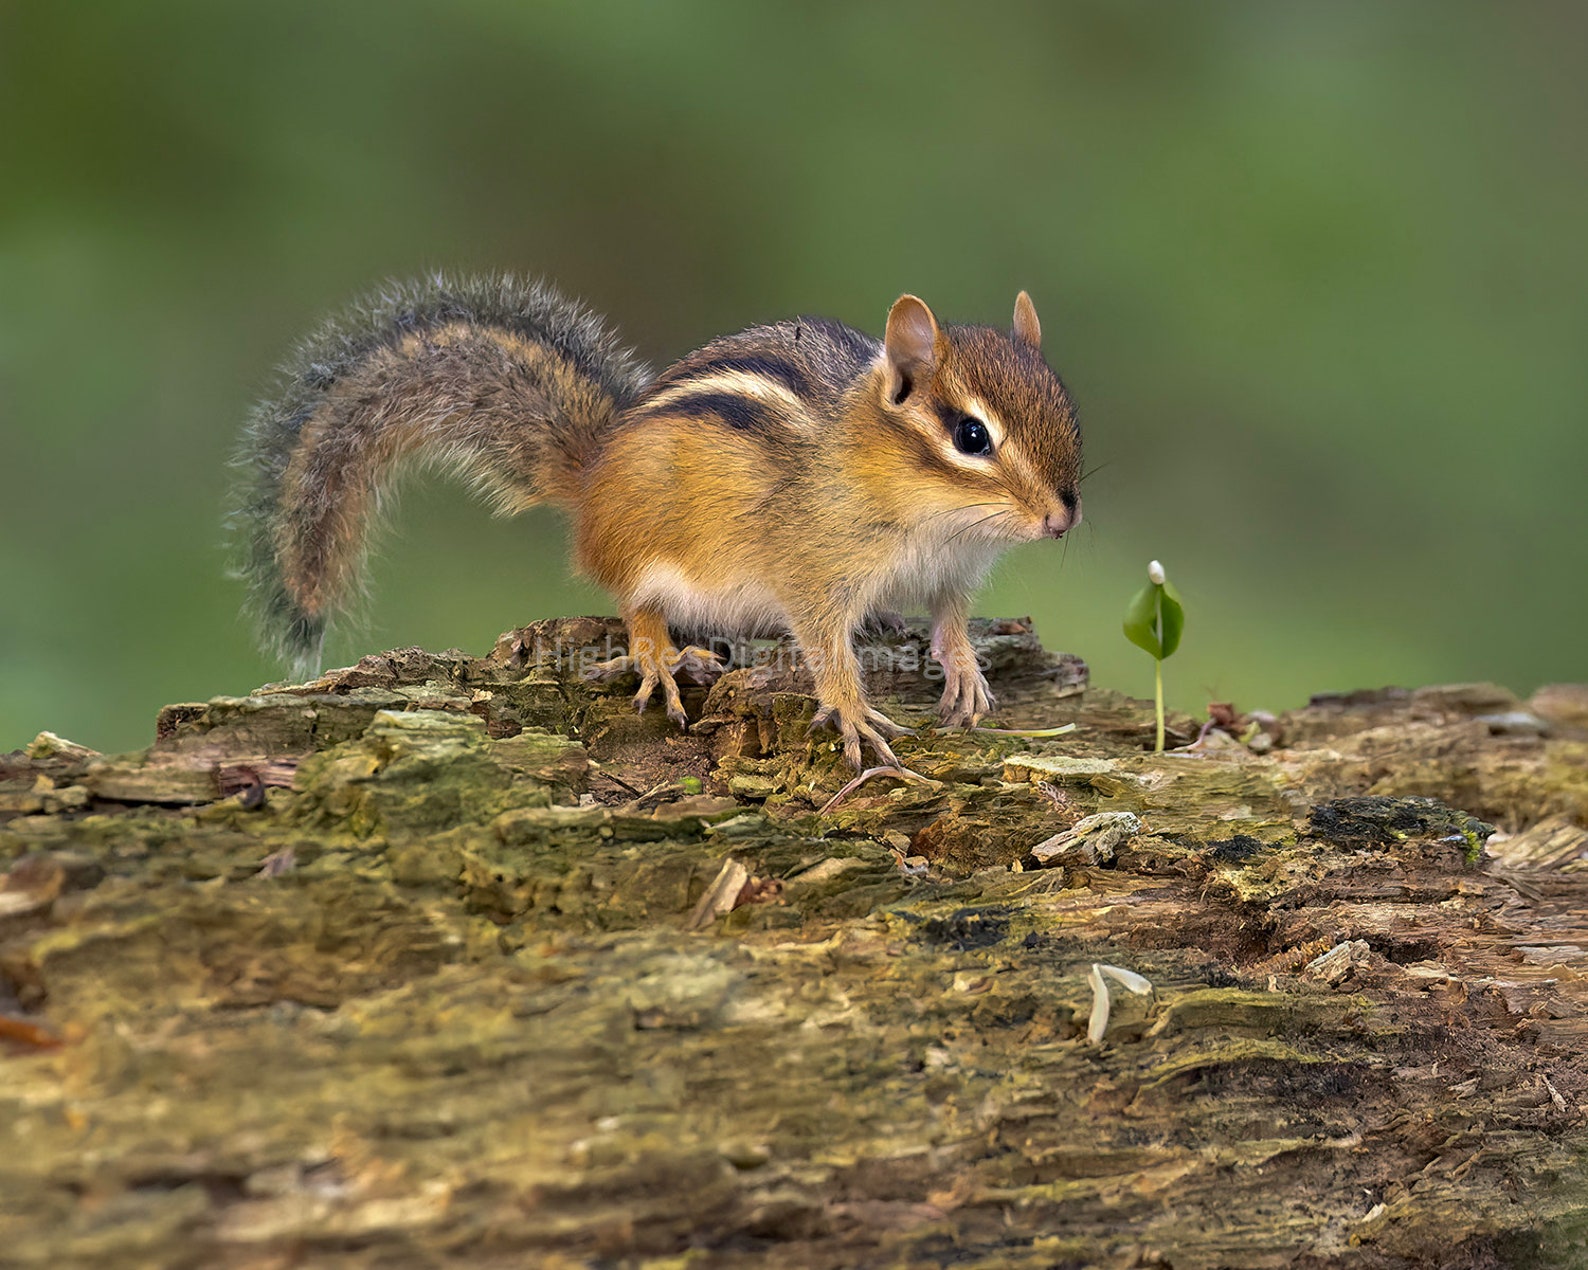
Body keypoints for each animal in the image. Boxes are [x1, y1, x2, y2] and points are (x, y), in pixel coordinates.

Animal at [232, 274, 1082, 769]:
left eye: (1067, 407)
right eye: (970, 435)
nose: (1063, 518)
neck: (936, 520)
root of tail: (593, 474)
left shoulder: (951, 572)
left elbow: (951, 619)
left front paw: (965, 670)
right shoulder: (813, 568)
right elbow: (822, 644)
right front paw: (849, 708)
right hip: (651, 546)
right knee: (635, 600)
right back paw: (659, 658)